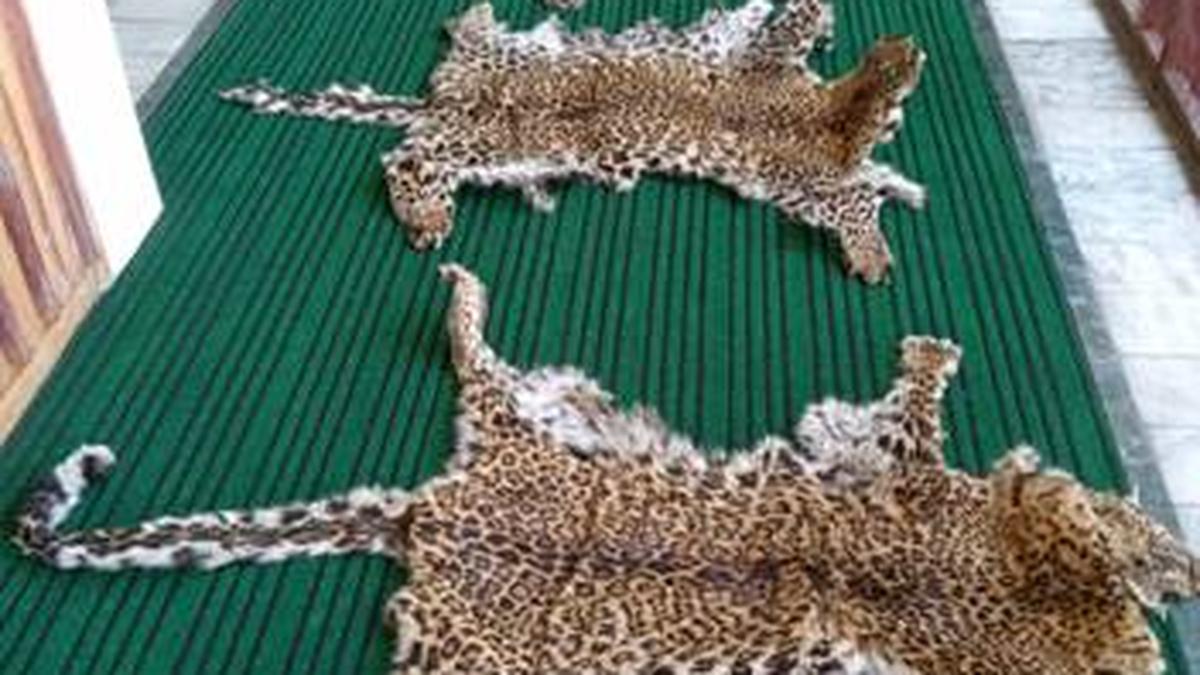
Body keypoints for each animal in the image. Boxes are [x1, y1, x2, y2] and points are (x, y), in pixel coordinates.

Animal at [12, 264, 1198, 674]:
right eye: (1159, 529)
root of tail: (427, 515)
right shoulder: (904, 471)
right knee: (473, 353)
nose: (1188, 576)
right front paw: (931, 350)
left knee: (484, 373)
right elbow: (919, 406)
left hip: (507, 457)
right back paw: (464, 286)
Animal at [219, 0, 926, 283]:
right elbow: (854, 204)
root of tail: (441, 101)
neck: (830, 112)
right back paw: (426, 218)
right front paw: (872, 254)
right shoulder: (806, 175)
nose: (913, 47)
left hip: (482, 73)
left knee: (464, 43)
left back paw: (470, 16)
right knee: (406, 160)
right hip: (490, 144)